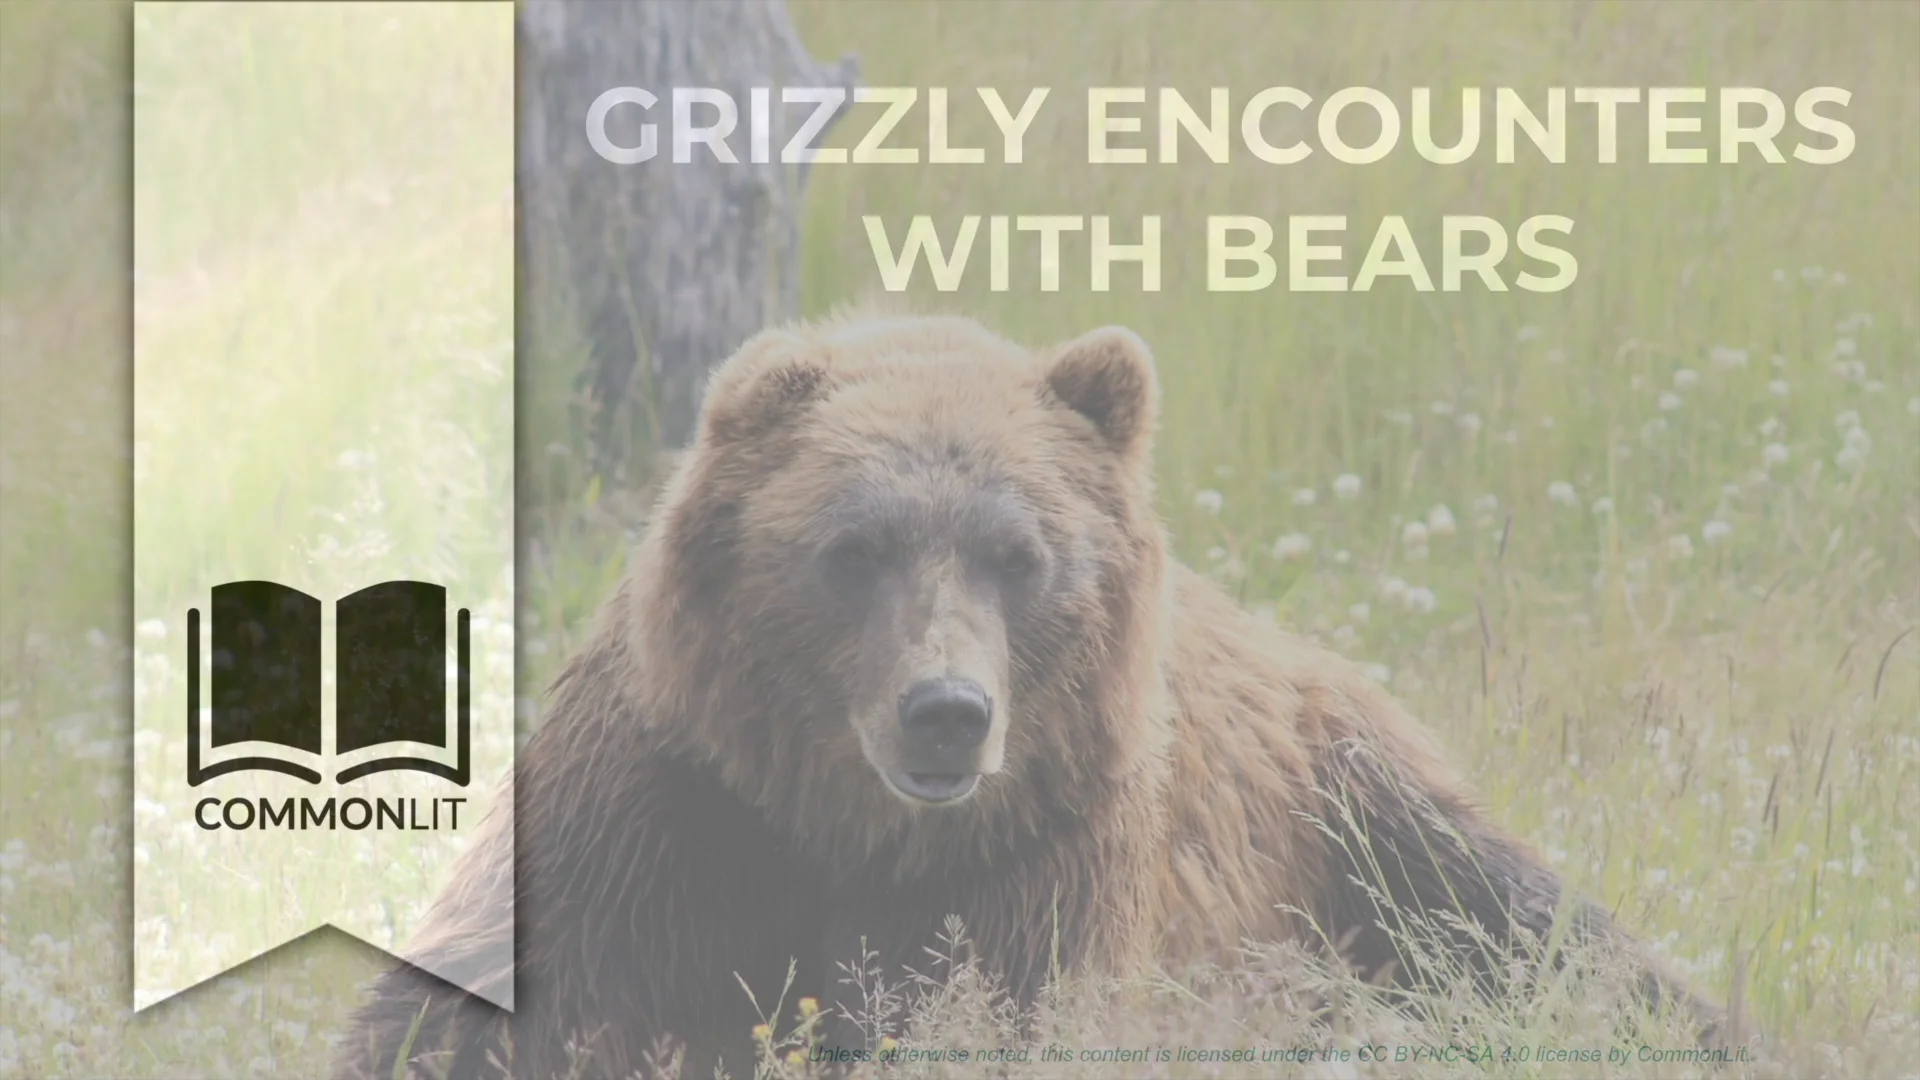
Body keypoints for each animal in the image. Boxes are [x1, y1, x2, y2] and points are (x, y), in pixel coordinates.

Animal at [331, 313, 1727, 1080]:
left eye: (1021, 554)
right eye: (854, 548)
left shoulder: (1043, 847)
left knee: (1527, 924)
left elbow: (997, 1015)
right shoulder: (674, 805)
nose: (946, 711)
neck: (849, 827)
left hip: (1347, 803)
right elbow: (481, 1011)